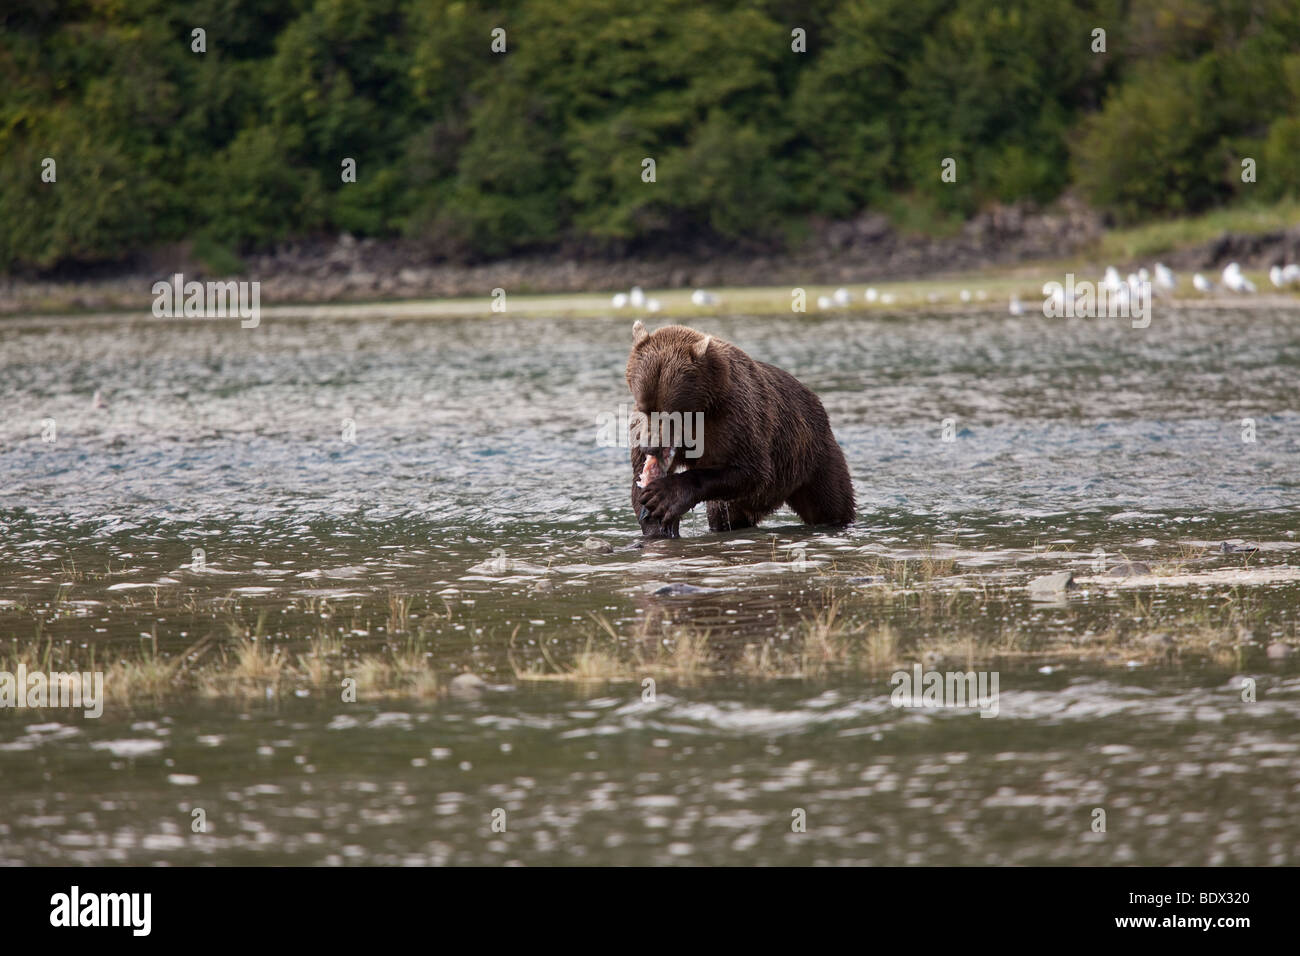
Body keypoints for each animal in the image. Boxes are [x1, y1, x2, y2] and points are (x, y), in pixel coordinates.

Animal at [626, 321, 855, 537]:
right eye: (645, 408)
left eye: (671, 413)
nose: (650, 447)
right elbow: (639, 478)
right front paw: (656, 519)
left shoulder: (733, 420)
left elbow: (750, 470)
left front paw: (663, 496)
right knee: (723, 515)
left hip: (812, 456)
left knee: (830, 500)